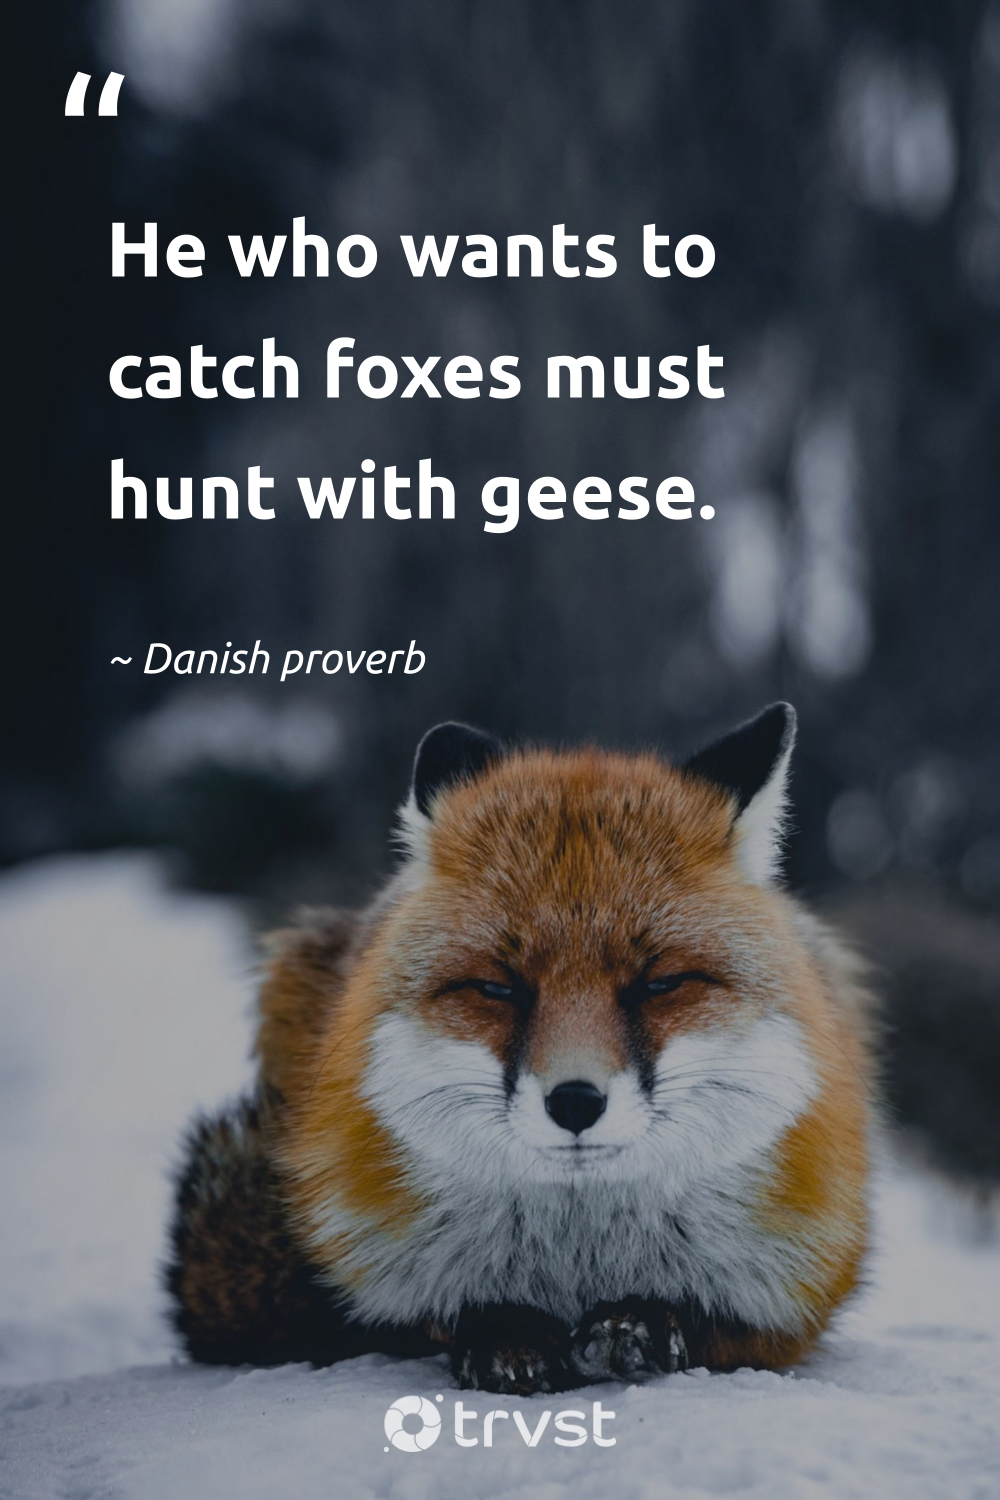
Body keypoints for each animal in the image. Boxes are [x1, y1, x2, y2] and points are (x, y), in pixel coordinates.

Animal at [167, 704, 873, 1393]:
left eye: (660, 984)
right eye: (497, 988)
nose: (576, 1102)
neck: (578, 1260)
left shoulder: (797, 1296)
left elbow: (714, 1321)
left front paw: (642, 1320)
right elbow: (437, 1315)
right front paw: (506, 1333)